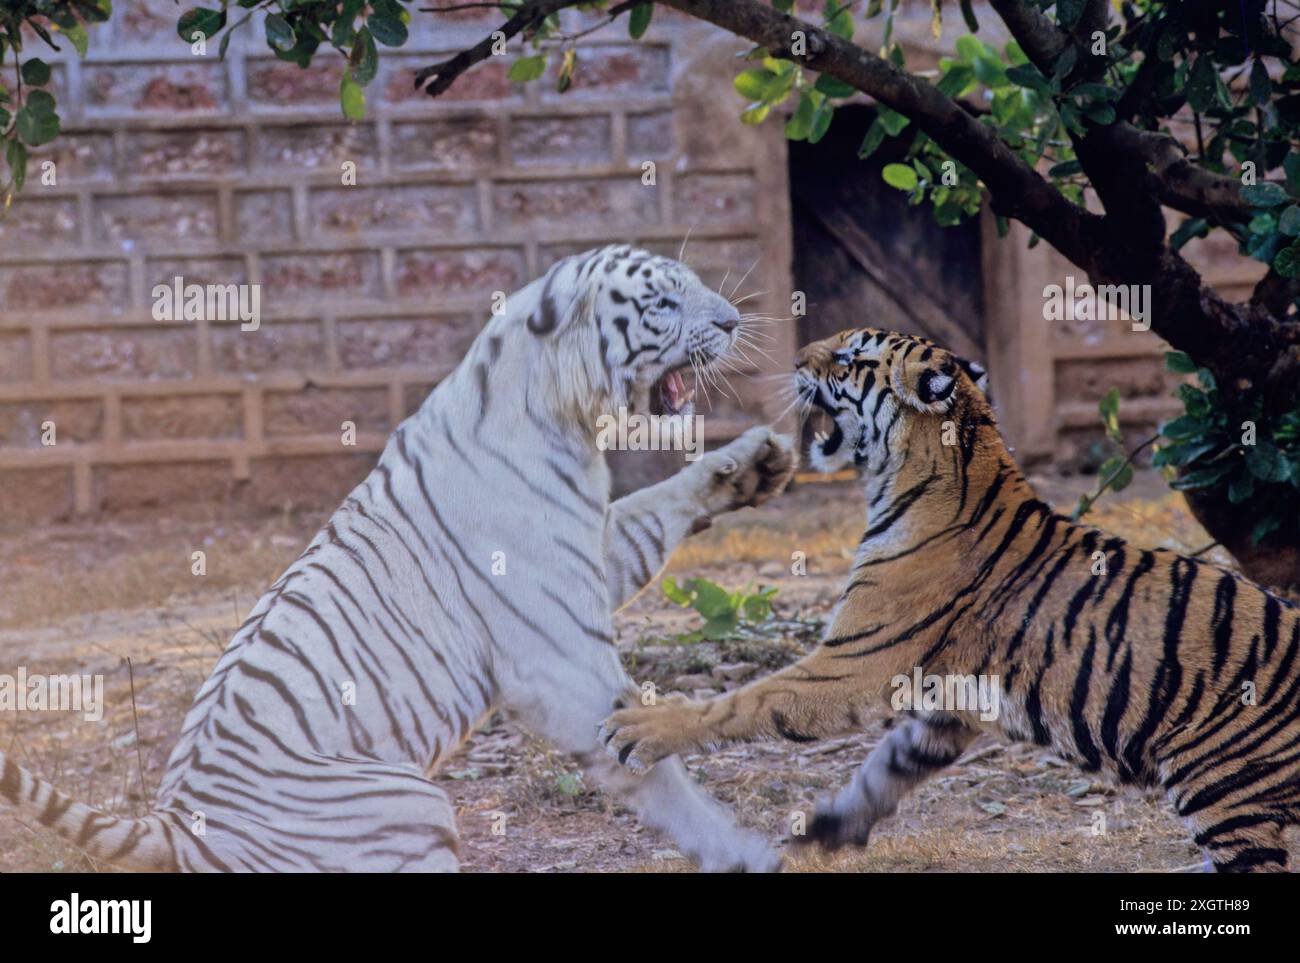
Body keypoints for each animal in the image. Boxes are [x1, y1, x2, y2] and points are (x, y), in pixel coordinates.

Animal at [0, 244, 795, 873]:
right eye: (664, 299)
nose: (733, 321)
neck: (566, 414)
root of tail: (172, 826)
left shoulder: (591, 553)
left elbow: (655, 507)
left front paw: (752, 464)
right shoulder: (559, 659)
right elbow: (657, 774)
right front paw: (746, 852)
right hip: (413, 805)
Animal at [601, 327, 1300, 873]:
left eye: (849, 356)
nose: (796, 356)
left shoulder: (856, 662)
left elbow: (745, 702)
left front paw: (640, 726)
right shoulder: (947, 701)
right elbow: (885, 767)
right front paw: (828, 828)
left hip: (1224, 789)